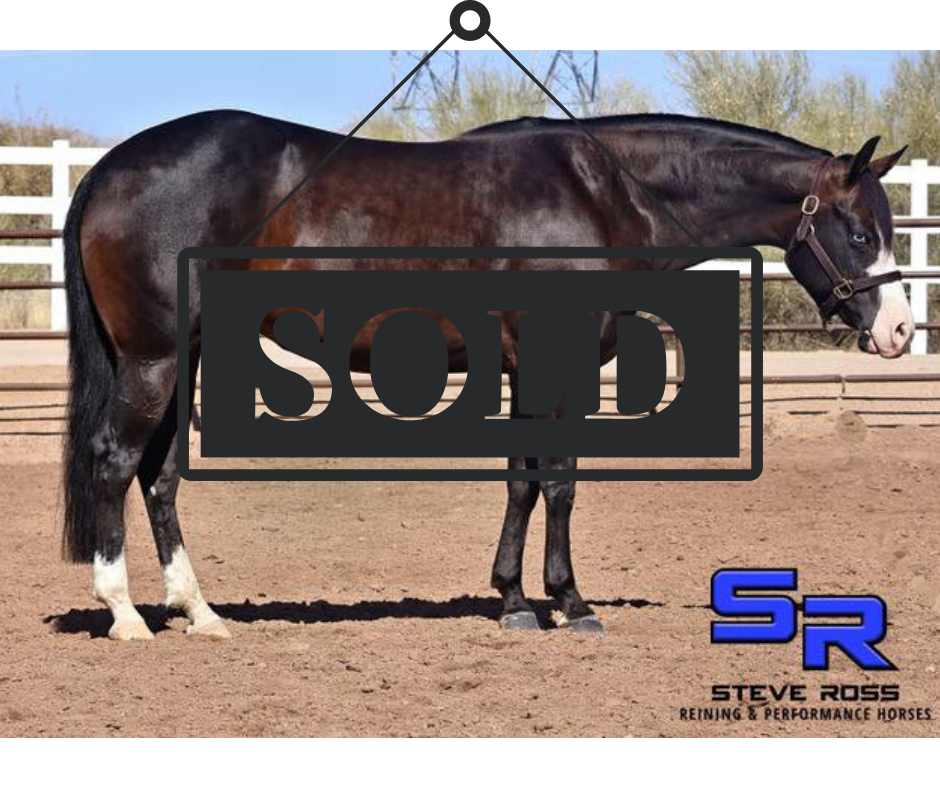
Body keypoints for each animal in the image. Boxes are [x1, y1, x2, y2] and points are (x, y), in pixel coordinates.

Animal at [61, 109, 913, 640]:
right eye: (860, 230)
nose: (901, 329)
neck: (602, 193)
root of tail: (108, 169)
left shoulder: (526, 369)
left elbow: (522, 482)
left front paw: (514, 600)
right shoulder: (558, 364)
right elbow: (560, 481)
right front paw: (571, 603)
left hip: (184, 357)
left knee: (160, 476)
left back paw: (198, 612)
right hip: (154, 358)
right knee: (114, 462)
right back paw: (126, 615)